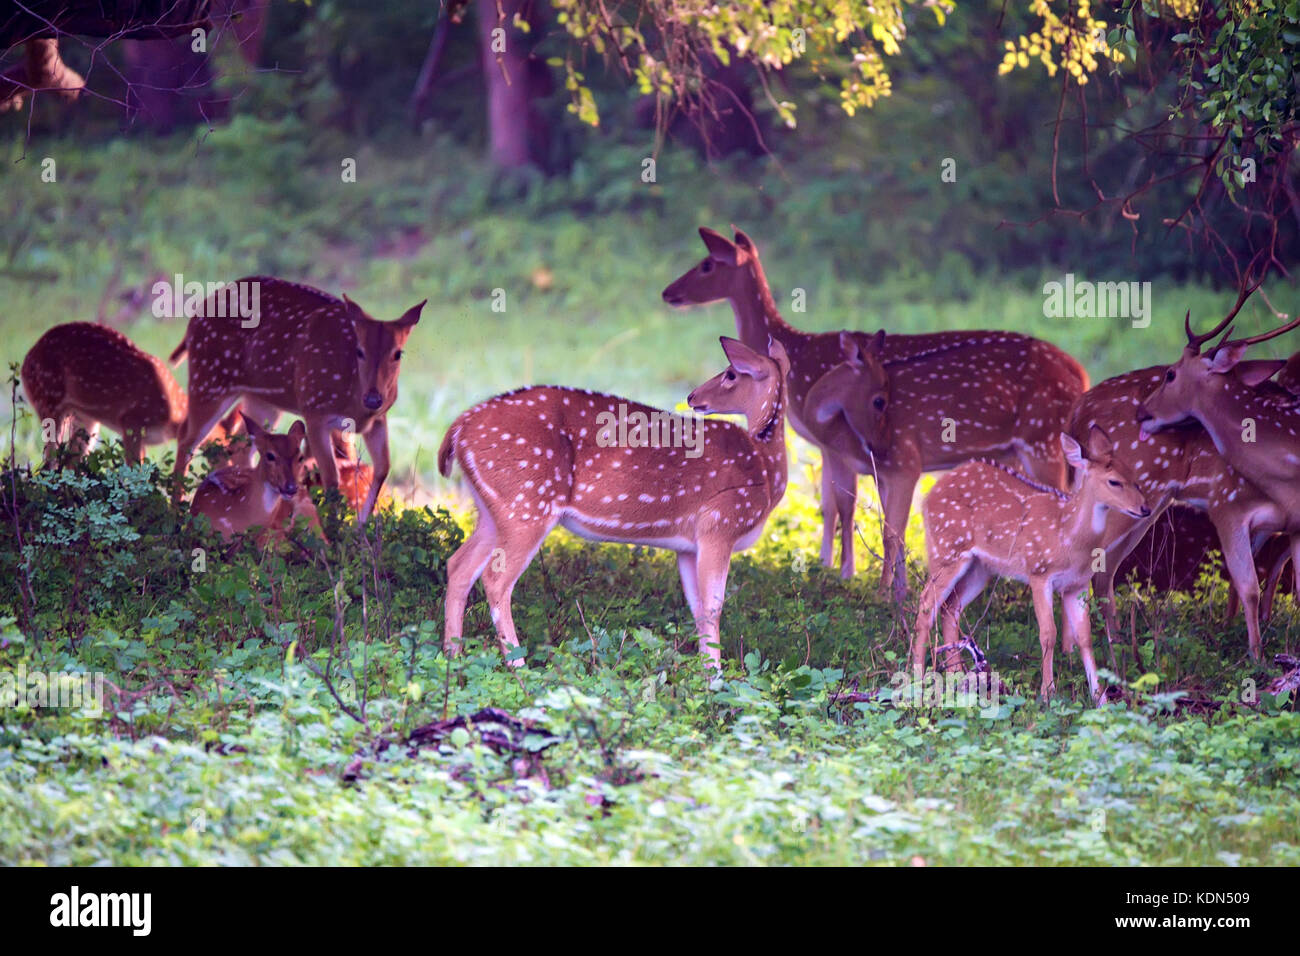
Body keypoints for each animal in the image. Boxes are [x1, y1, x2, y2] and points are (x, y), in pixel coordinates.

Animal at [21, 321, 232, 464]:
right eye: (228, 451)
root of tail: (25, 362)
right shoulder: (131, 422)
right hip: (49, 401)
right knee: (49, 462)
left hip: (86, 418)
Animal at [169, 277, 424, 524]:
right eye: (360, 351)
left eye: (398, 353)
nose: (373, 398)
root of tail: (194, 318)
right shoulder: (314, 411)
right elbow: (332, 477)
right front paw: (335, 530)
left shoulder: (379, 419)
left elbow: (383, 468)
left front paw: (360, 527)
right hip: (209, 379)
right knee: (187, 439)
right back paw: (177, 512)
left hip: (262, 400)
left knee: (242, 445)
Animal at [439, 336, 790, 669]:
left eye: (731, 373)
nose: (692, 397)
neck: (765, 468)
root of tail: (457, 429)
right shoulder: (721, 523)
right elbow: (714, 607)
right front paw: (716, 679)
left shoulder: (690, 545)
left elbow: (699, 609)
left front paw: (706, 674)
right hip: (527, 502)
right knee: (495, 579)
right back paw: (518, 665)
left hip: (494, 509)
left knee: (458, 565)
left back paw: (452, 656)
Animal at [662, 226, 1089, 601]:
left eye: (706, 264)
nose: (668, 292)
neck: (798, 359)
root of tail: (1079, 373)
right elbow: (834, 505)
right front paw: (844, 572)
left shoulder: (841, 445)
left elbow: (844, 506)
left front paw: (845, 573)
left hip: (1042, 440)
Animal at [913, 426, 1152, 703]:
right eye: (1114, 481)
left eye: (1134, 475)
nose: (1144, 508)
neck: (1068, 536)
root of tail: (927, 497)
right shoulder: (1038, 571)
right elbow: (1048, 633)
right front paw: (1047, 693)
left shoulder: (1077, 584)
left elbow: (1085, 637)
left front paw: (1099, 696)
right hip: (946, 550)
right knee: (926, 603)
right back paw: (917, 678)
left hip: (979, 568)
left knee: (950, 608)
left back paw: (958, 678)